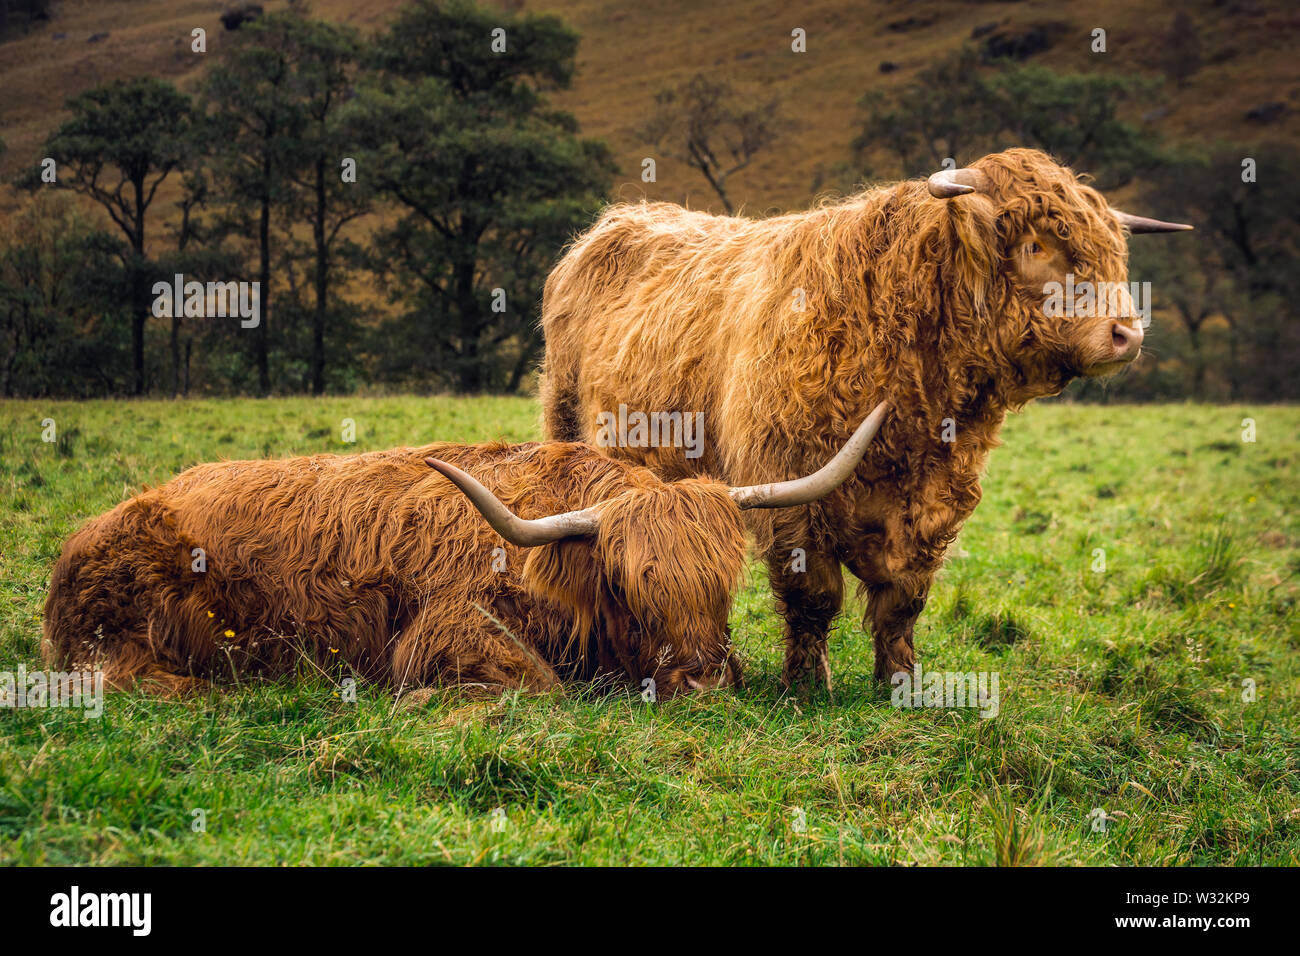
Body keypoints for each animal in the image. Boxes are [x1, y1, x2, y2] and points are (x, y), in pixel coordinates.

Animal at [42, 402, 887, 700]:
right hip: (126, 638)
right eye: (626, 582)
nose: (704, 678)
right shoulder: (446, 625)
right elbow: (537, 685)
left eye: (723, 580)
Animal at [539, 147, 1192, 690]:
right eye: (1035, 245)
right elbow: (812, 596)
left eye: (1114, 249)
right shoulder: (789, 488)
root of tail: (623, 217)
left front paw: (898, 684)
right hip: (566, 421)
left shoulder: (936, 498)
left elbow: (904, 599)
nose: (1127, 333)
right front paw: (806, 687)